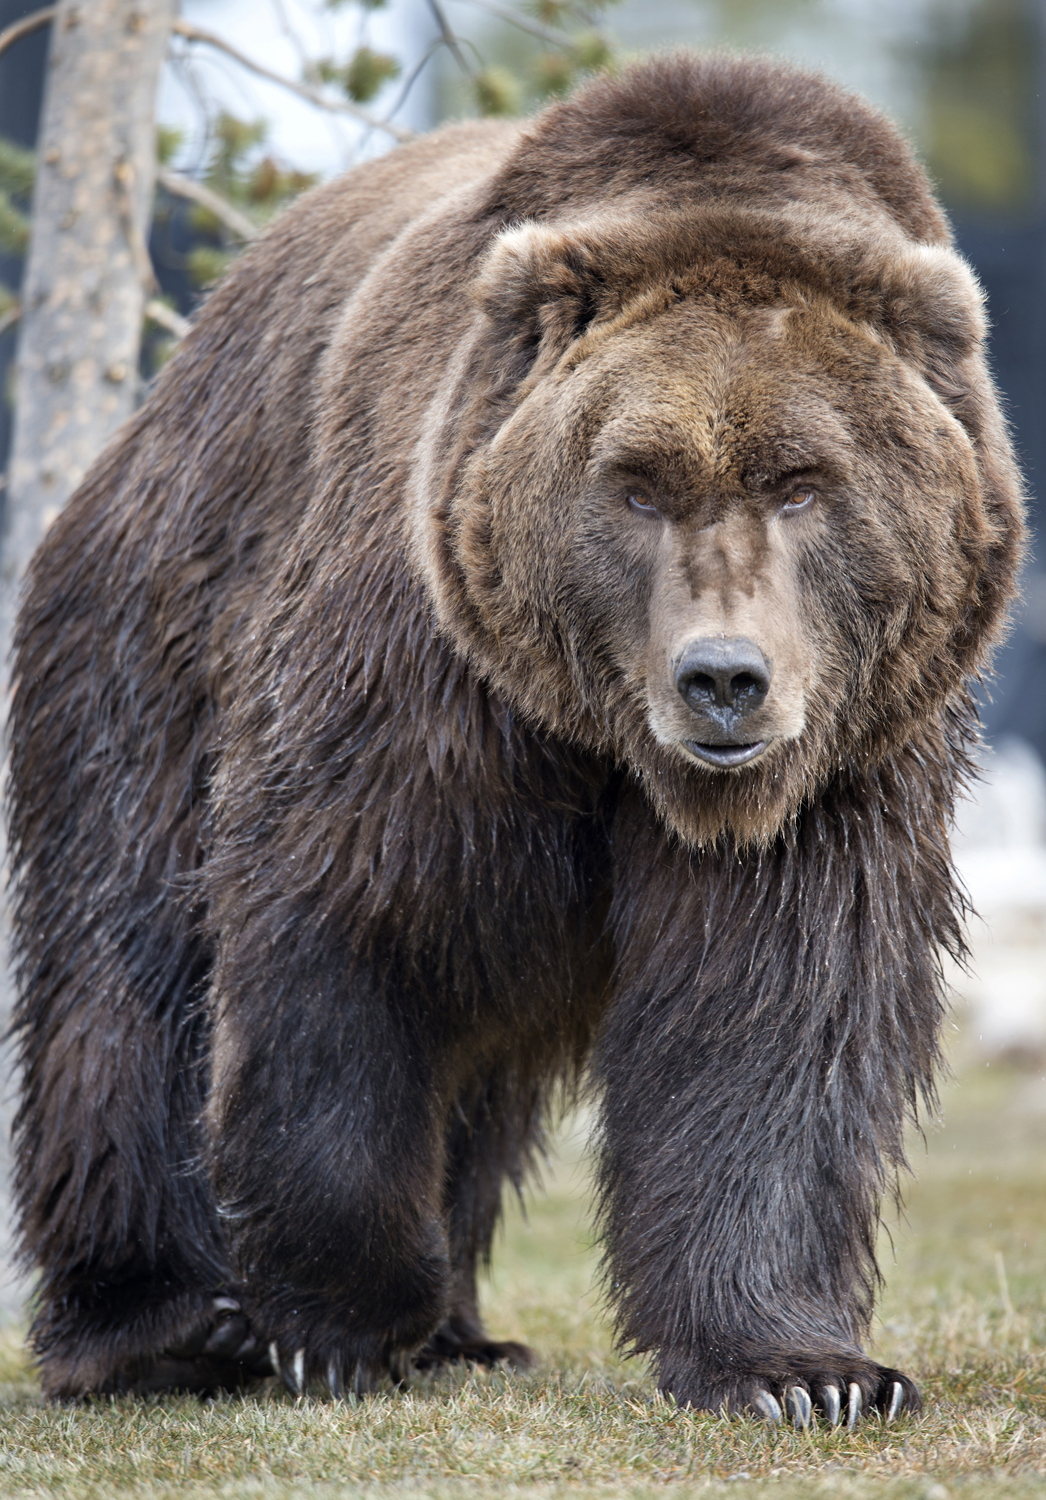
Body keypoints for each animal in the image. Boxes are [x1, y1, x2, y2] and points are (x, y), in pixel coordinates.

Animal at [7, 52, 1024, 1417]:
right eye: (635, 481)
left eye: (802, 481)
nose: (722, 679)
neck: (614, 750)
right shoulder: (428, 683)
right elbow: (345, 930)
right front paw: (329, 1323)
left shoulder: (833, 773)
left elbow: (773, 1012)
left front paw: (800, 1370)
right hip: (150, 630)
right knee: (126, 961)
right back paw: (161, 1323)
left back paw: (463, 1331)